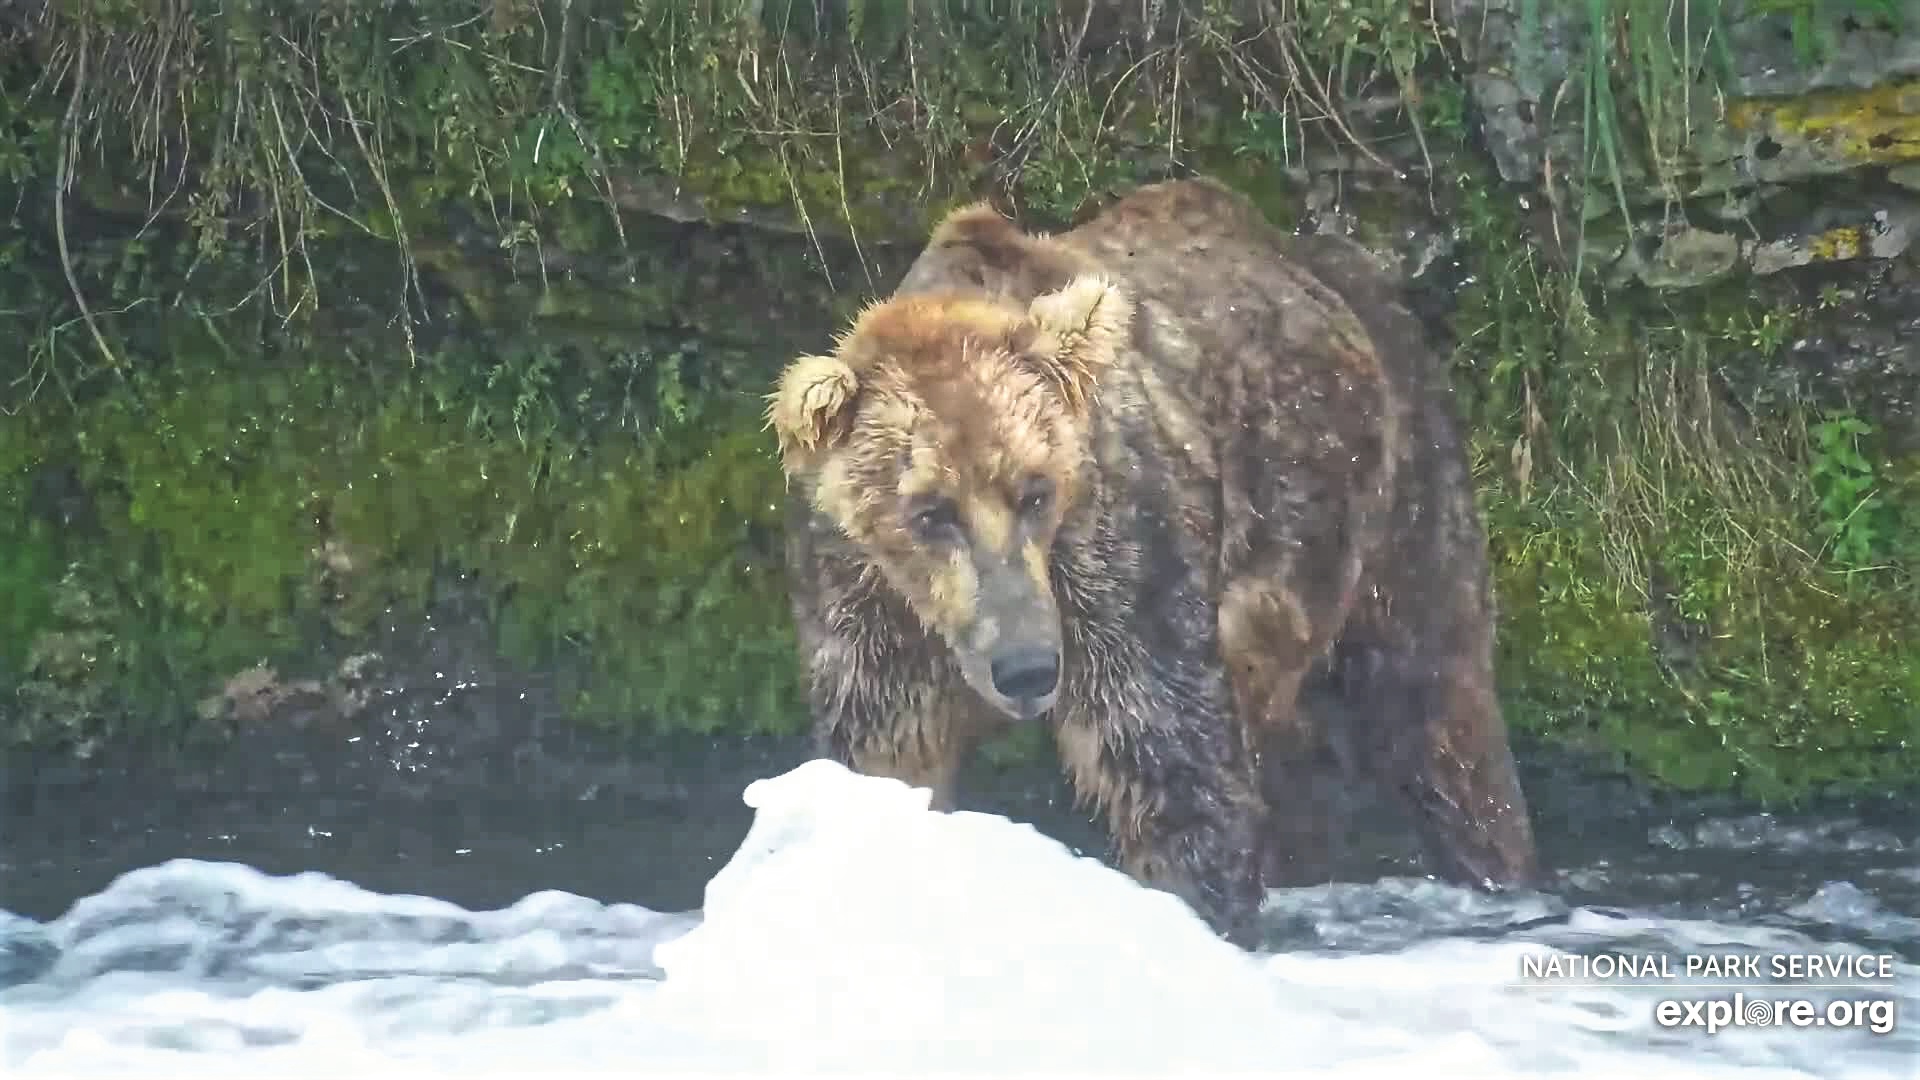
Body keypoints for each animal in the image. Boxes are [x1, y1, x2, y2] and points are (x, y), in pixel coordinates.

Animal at [767, 177, 1540, 947]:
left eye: (1035, 492)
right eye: (931, 510)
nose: (1027, 667)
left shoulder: (1120, 569)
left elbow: (1172, 769)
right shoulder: (868, 612)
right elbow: (887, 759)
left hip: (1399, 504)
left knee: (1439, 714)